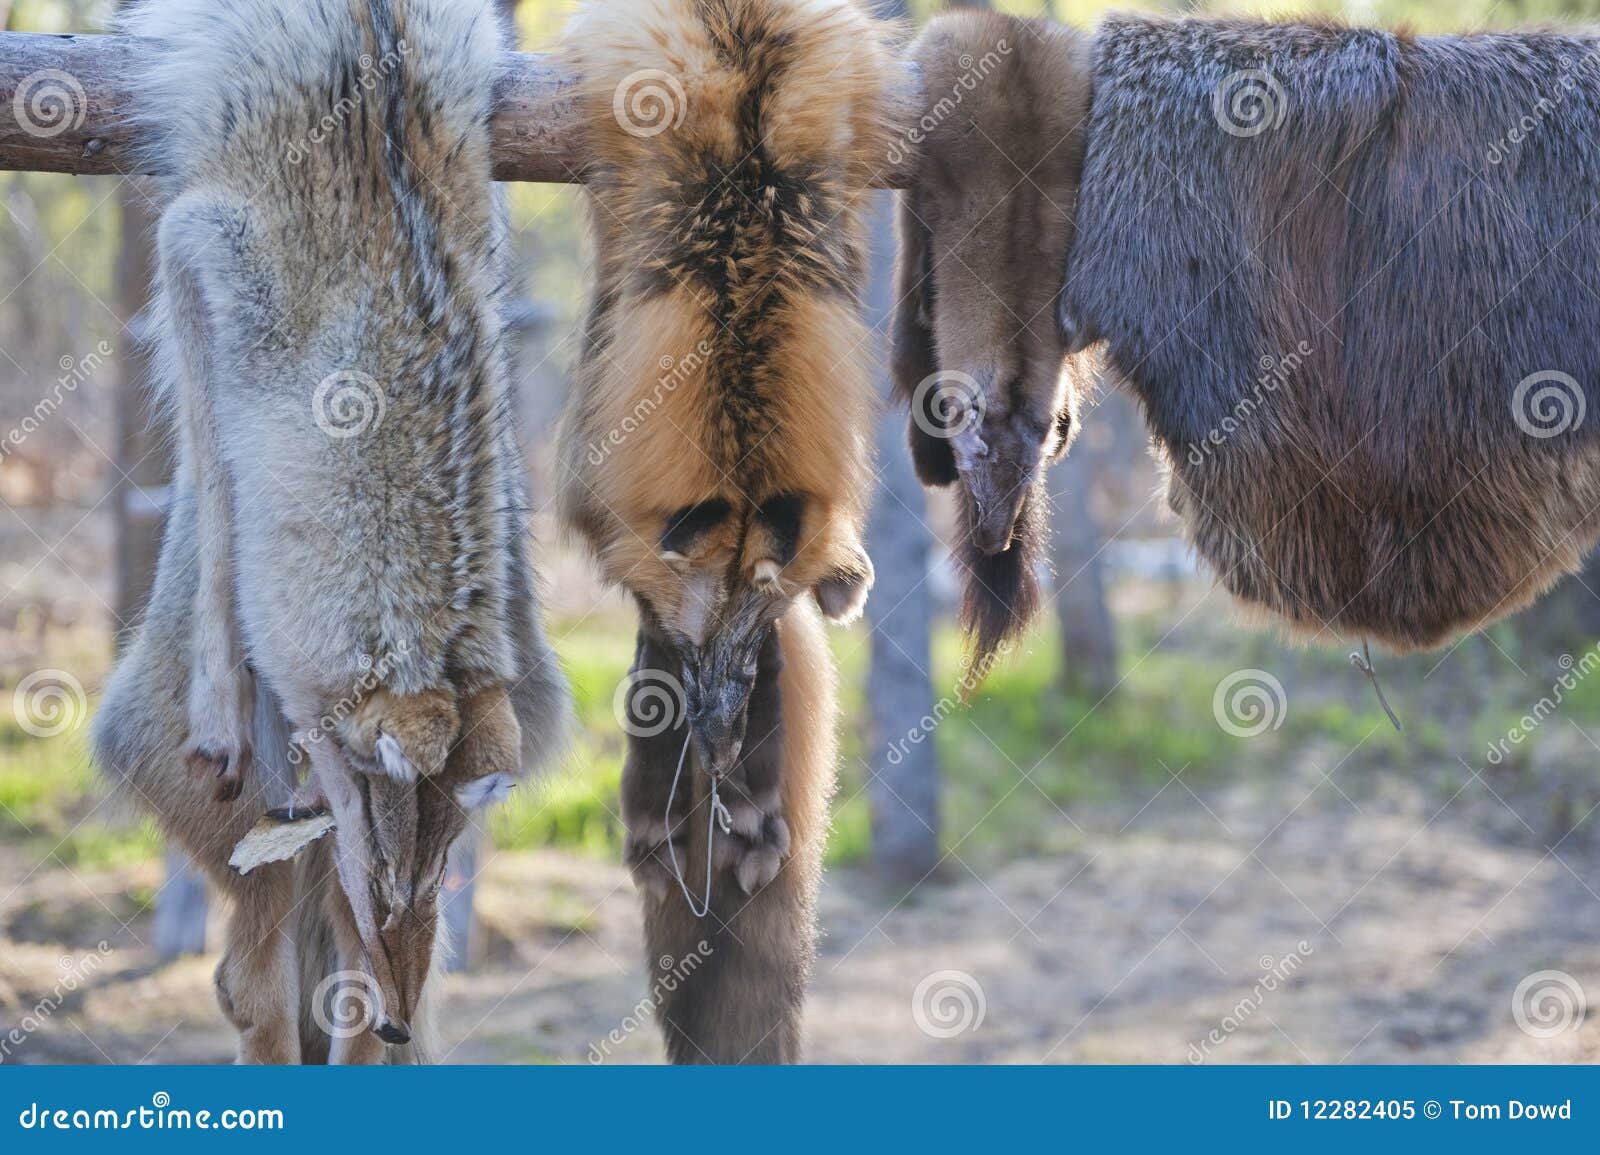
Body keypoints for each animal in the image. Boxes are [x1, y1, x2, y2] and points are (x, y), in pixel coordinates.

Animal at [92, 0, 568, 1063]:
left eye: (438, 878)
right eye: (392, 873)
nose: (397, 1016)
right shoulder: (197, 246)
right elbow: (214, 488)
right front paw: (220, 699)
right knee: (247, 979)